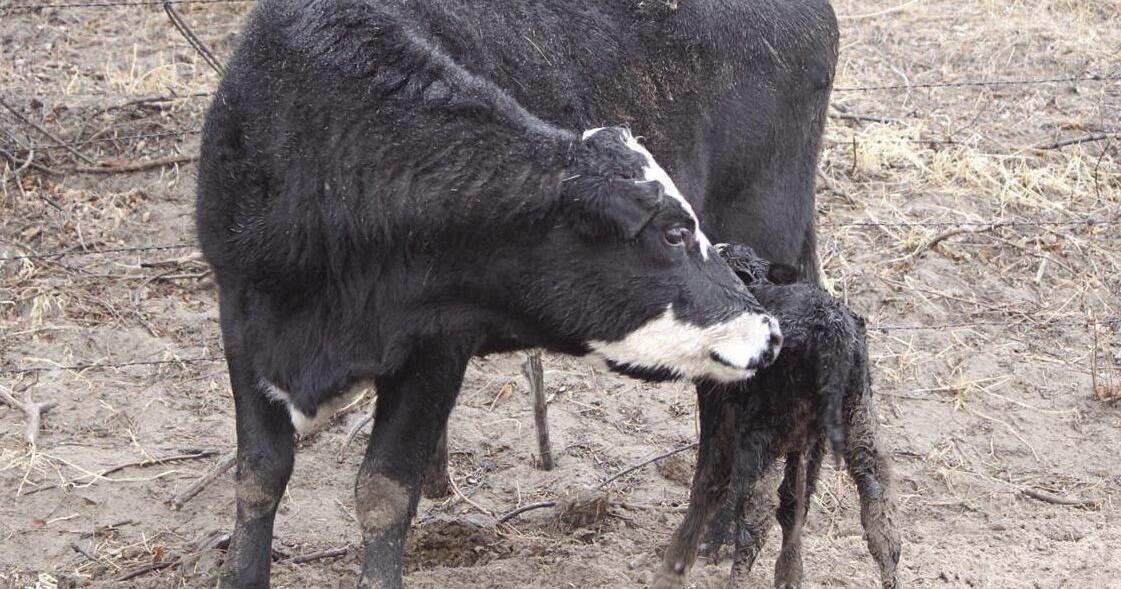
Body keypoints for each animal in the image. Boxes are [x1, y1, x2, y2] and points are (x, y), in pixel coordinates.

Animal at [192, 0, 837, 586]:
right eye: (675, 232)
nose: (767, 331)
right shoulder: (241, 315)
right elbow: (259, 475)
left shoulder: (438, 342)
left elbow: (382, 492)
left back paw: (717, 536)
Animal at [653, 244, 900, 589]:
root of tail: (830, 331)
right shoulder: (809, 440)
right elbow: (795, 503)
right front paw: (789, 575)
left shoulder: (720, 407)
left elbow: (709, 481)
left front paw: (676, 564)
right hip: (856, 416)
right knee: (879, 507)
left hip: (763, 431)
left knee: (756, 514)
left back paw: (736, 580)